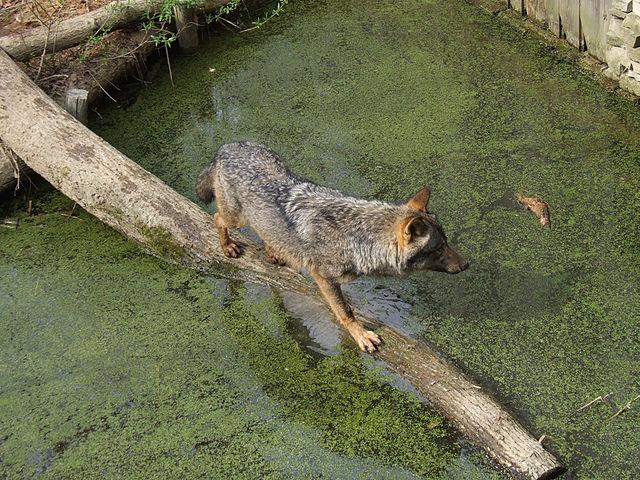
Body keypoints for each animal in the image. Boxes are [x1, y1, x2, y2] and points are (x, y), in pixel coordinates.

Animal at [196, 142, 468, 353]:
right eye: (438, 249)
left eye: (447, 243)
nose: (467, 264)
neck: (356, 238)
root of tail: (228, 146)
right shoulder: (323, 277)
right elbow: (345, 311)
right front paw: (361, 335)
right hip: (236, 218)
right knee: (217, 218)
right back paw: (227, 246)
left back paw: (274, 252)